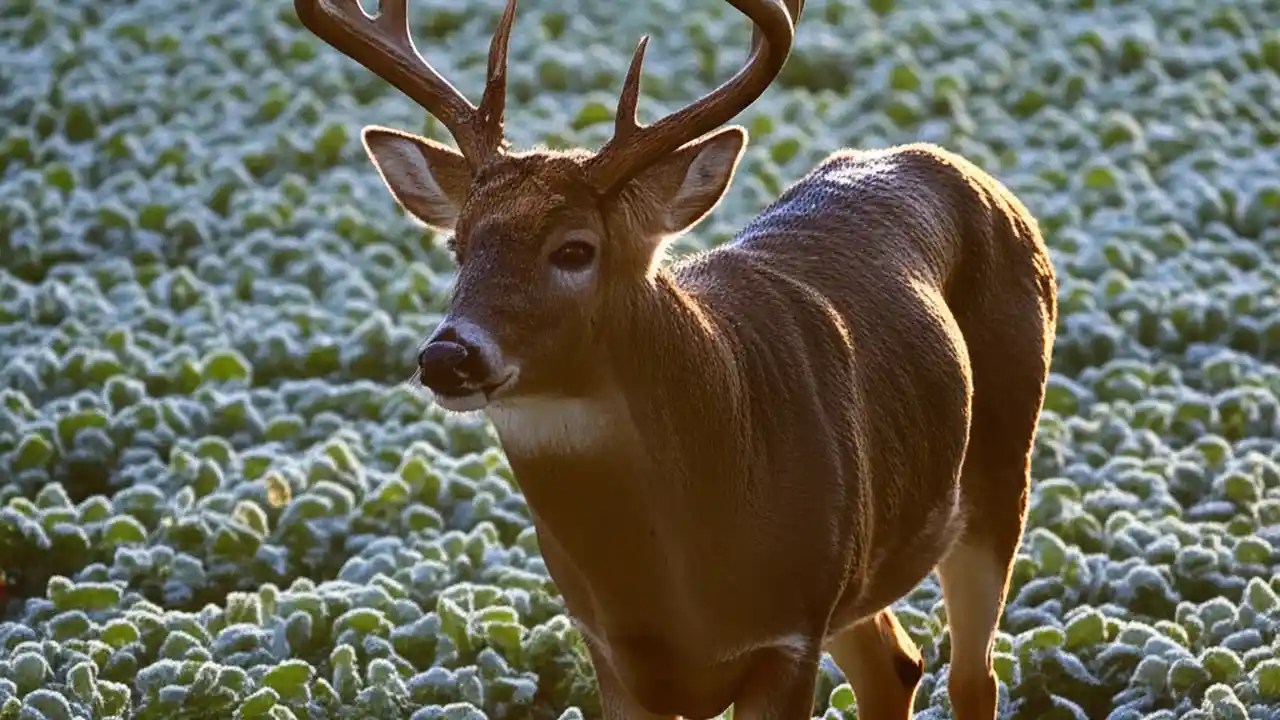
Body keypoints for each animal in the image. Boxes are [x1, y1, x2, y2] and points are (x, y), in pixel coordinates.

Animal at [294, 0, 1058, 717]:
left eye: (575, 249)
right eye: (459, 245)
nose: (447, 356)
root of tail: (954, 163)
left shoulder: (789, 633)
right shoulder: (609, 653)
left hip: (998, 475)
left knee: (973, 676)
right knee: (895, 665)